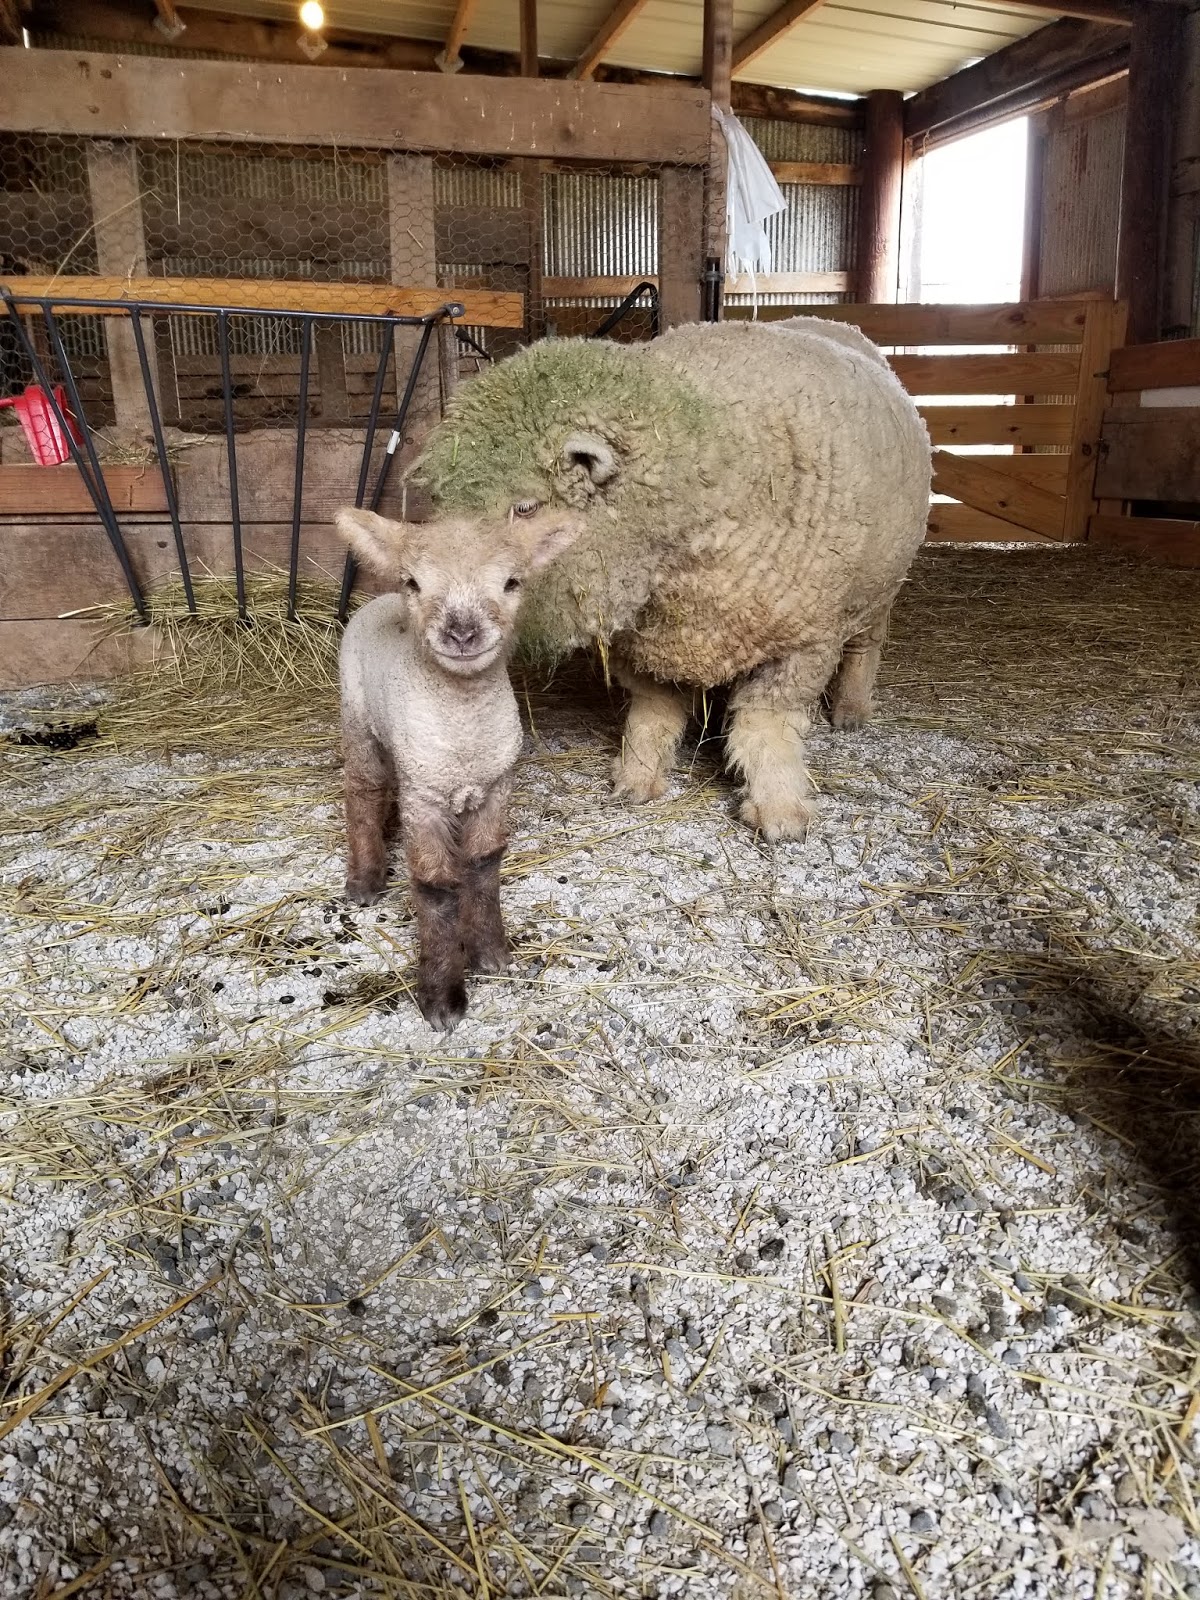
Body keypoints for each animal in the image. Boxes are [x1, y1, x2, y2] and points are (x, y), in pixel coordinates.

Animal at [334, 505, 578, 1029]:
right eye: (414, 582)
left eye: (512, 582)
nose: (462, 634)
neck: (463, 730)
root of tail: (378, 601)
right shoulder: (426, 798)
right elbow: (435, 889)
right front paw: (442, 995)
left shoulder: (496, 784)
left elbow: (484, 868)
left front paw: (491, 953)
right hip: (357, 715)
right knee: (363, 788)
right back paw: (365, 879)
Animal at [373, 316, 932, 842]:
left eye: (525, 507)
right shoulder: (644, 640)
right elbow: (653, 712)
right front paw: (637, 778)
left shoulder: (802, 642)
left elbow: (765, 724)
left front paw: (779, 809)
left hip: (877, 587)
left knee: (866, 644)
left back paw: (852, 710)